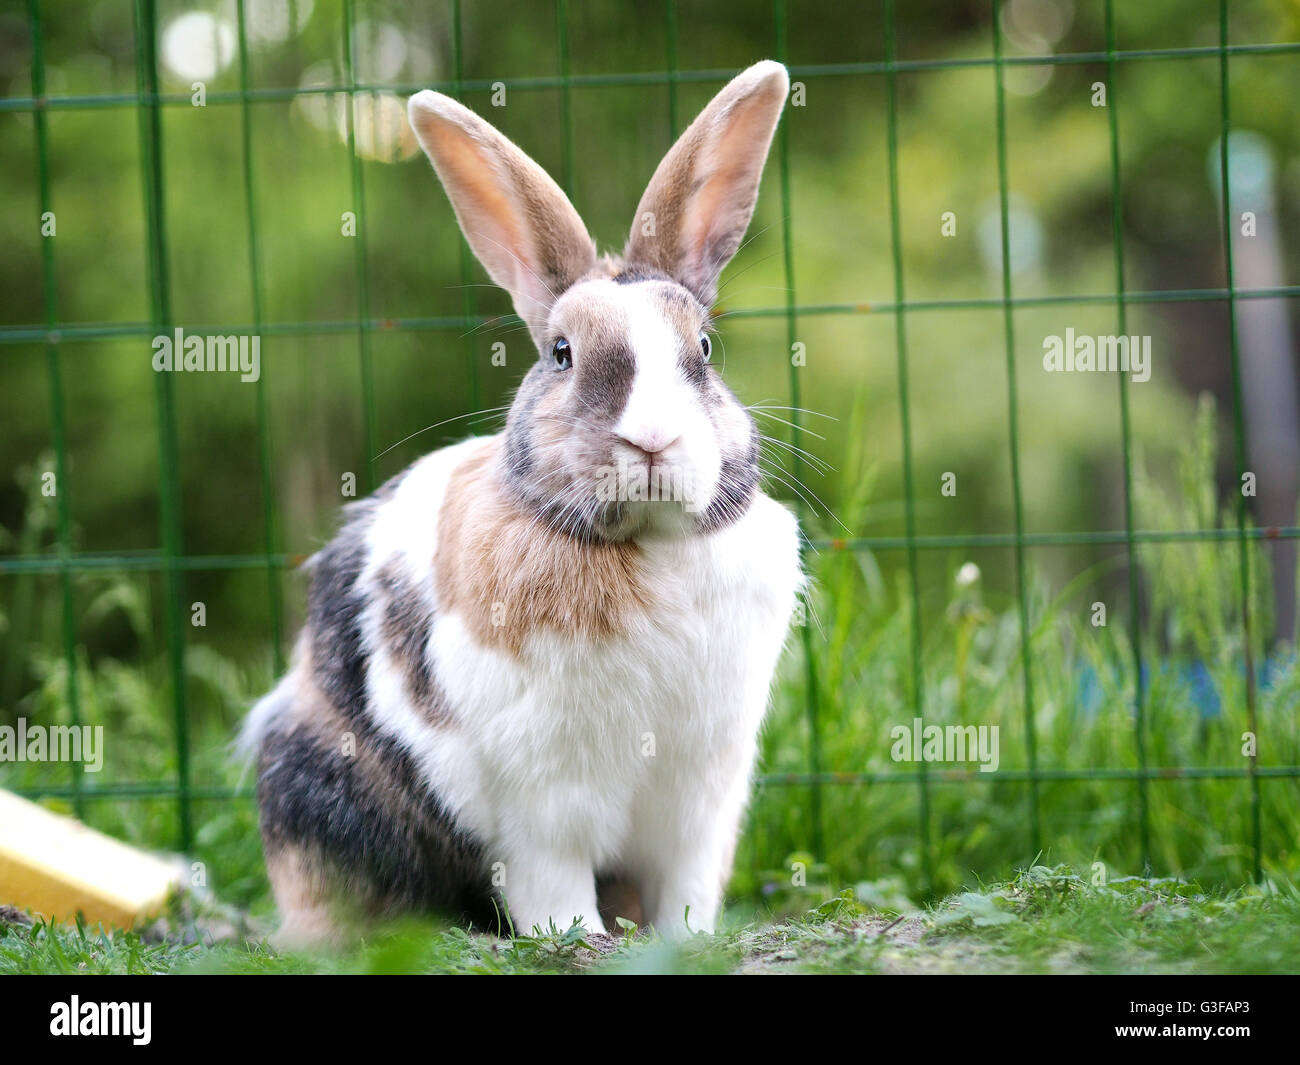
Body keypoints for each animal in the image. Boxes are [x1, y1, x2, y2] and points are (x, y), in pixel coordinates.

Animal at [242, 60, 803, 947]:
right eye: (562, 353)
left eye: (705, 350)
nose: (652, 440)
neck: (649, 548)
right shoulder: (540, 804)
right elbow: (552, 883)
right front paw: (578, 938)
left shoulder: (701, 801)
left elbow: (684, 885)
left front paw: (685, 939)